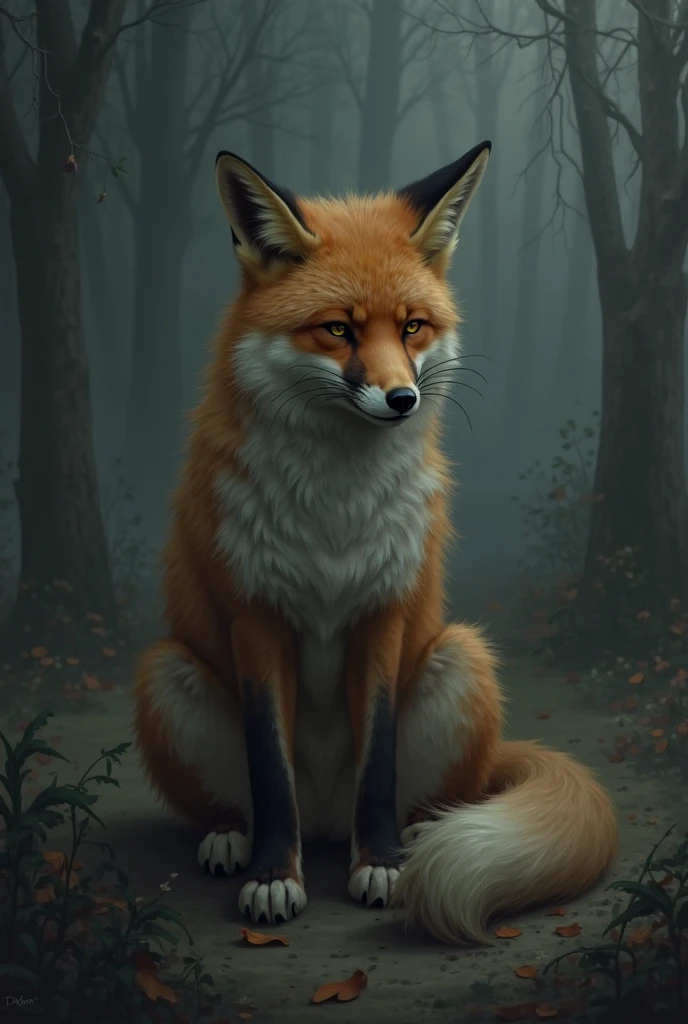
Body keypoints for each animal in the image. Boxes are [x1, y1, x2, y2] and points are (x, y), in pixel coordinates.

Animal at [132, 140, 618, 944]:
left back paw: (418, 833)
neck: (337, 508)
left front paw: (383, 866)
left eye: (413, 326)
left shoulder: (384, 612)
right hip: (165, 672)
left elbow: (379, 761)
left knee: (433, 794)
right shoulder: (255, 617)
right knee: (243, 800)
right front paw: (274, 876)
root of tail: (326, 824)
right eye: (339, 329)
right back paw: (233, 837)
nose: (402, 400)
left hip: (463, 656)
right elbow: (269, 769)